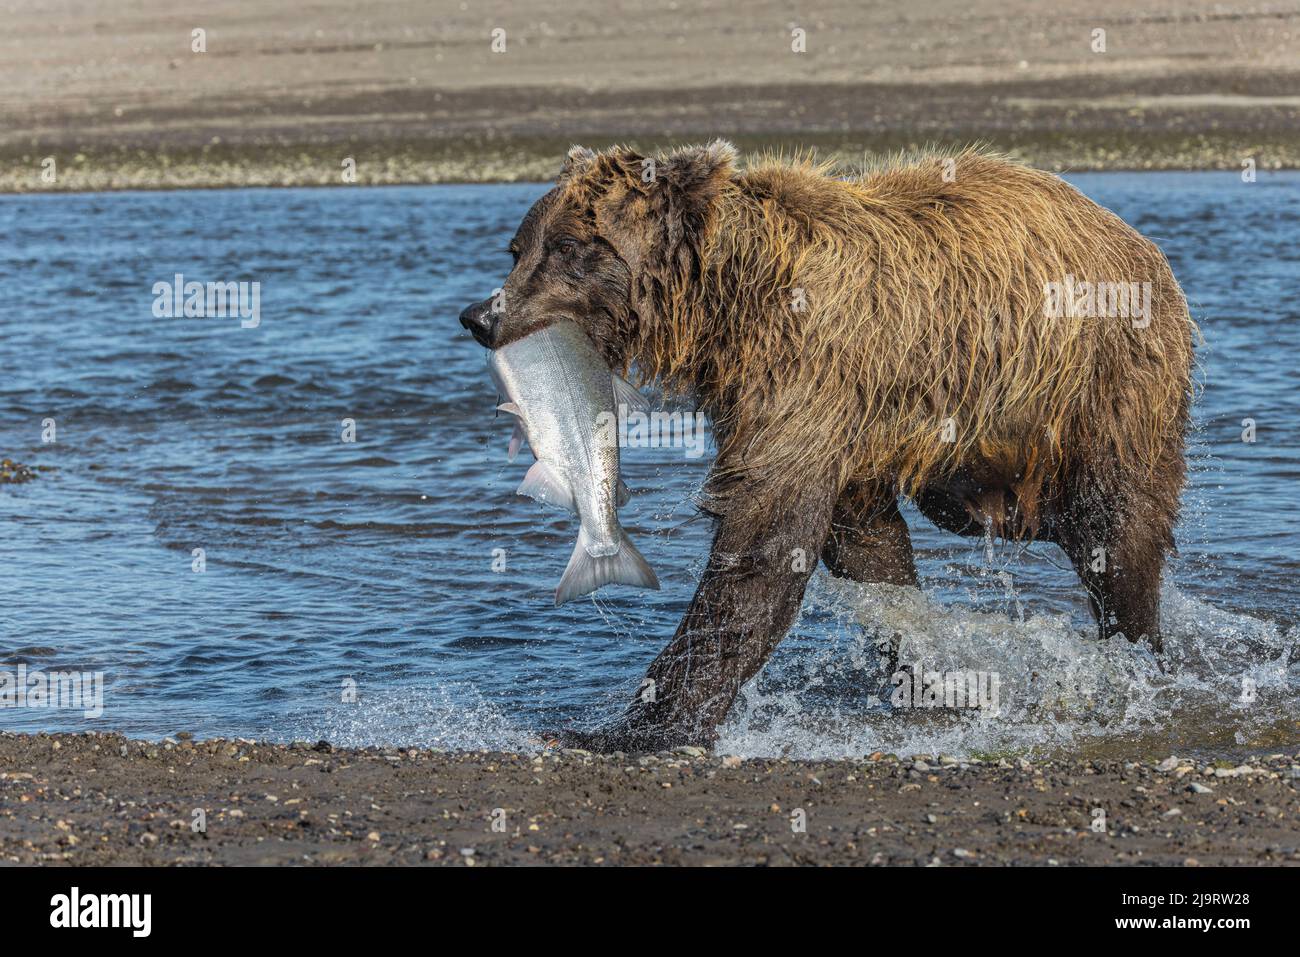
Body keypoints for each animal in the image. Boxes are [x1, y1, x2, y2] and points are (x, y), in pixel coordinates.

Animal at [459, 141, 1196, 753]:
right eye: (518, 247)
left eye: (569, 245)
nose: (481, 316)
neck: (725, 301)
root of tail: (1138, 240)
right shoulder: (798, 405)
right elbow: (862, 540)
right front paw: (928, 674)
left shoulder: (807, 370)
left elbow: (766, 530)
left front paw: (632, 725)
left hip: (1102, 378)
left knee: (1114, 525)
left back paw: (1139, 652)